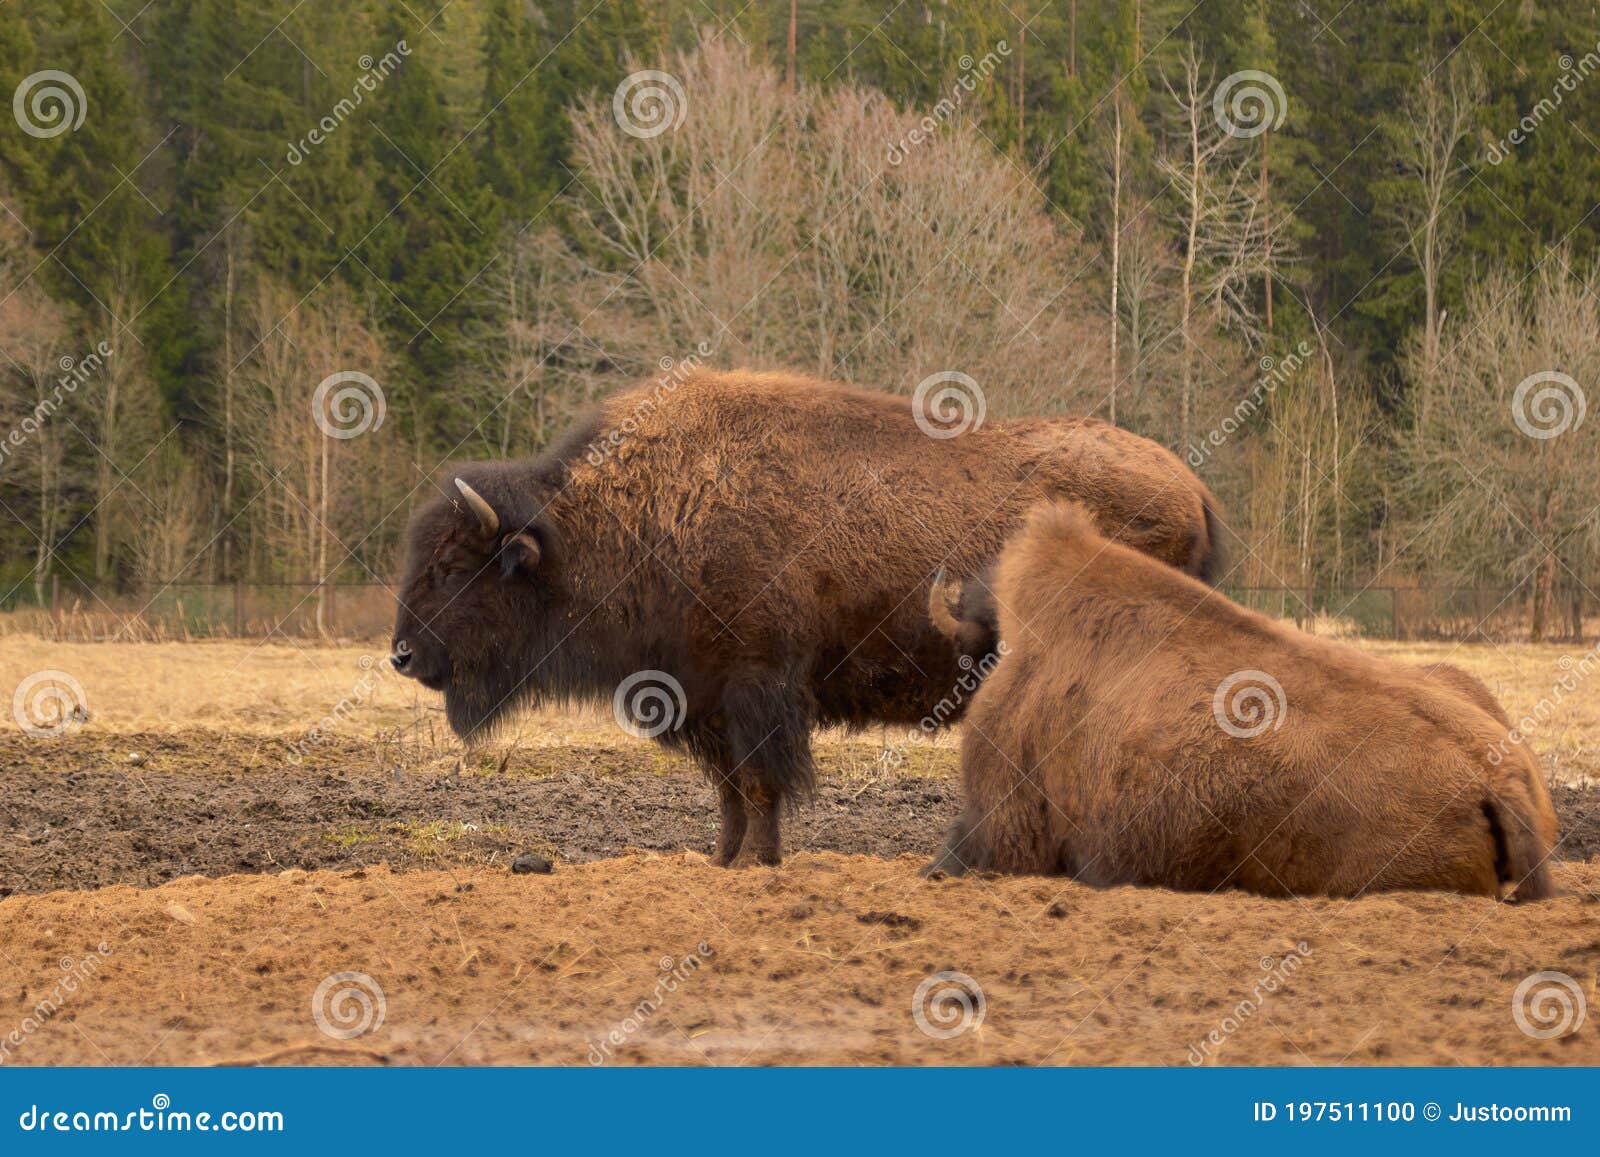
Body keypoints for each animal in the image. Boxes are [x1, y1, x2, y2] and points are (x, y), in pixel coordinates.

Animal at [391, 369, 1224, 866]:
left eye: (454, 565)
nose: (401, 654)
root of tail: (1190, 485)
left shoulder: (759, 687)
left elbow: (761, 782)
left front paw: (759, 861)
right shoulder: (704, 698)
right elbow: (729, 788)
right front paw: (723, 859)